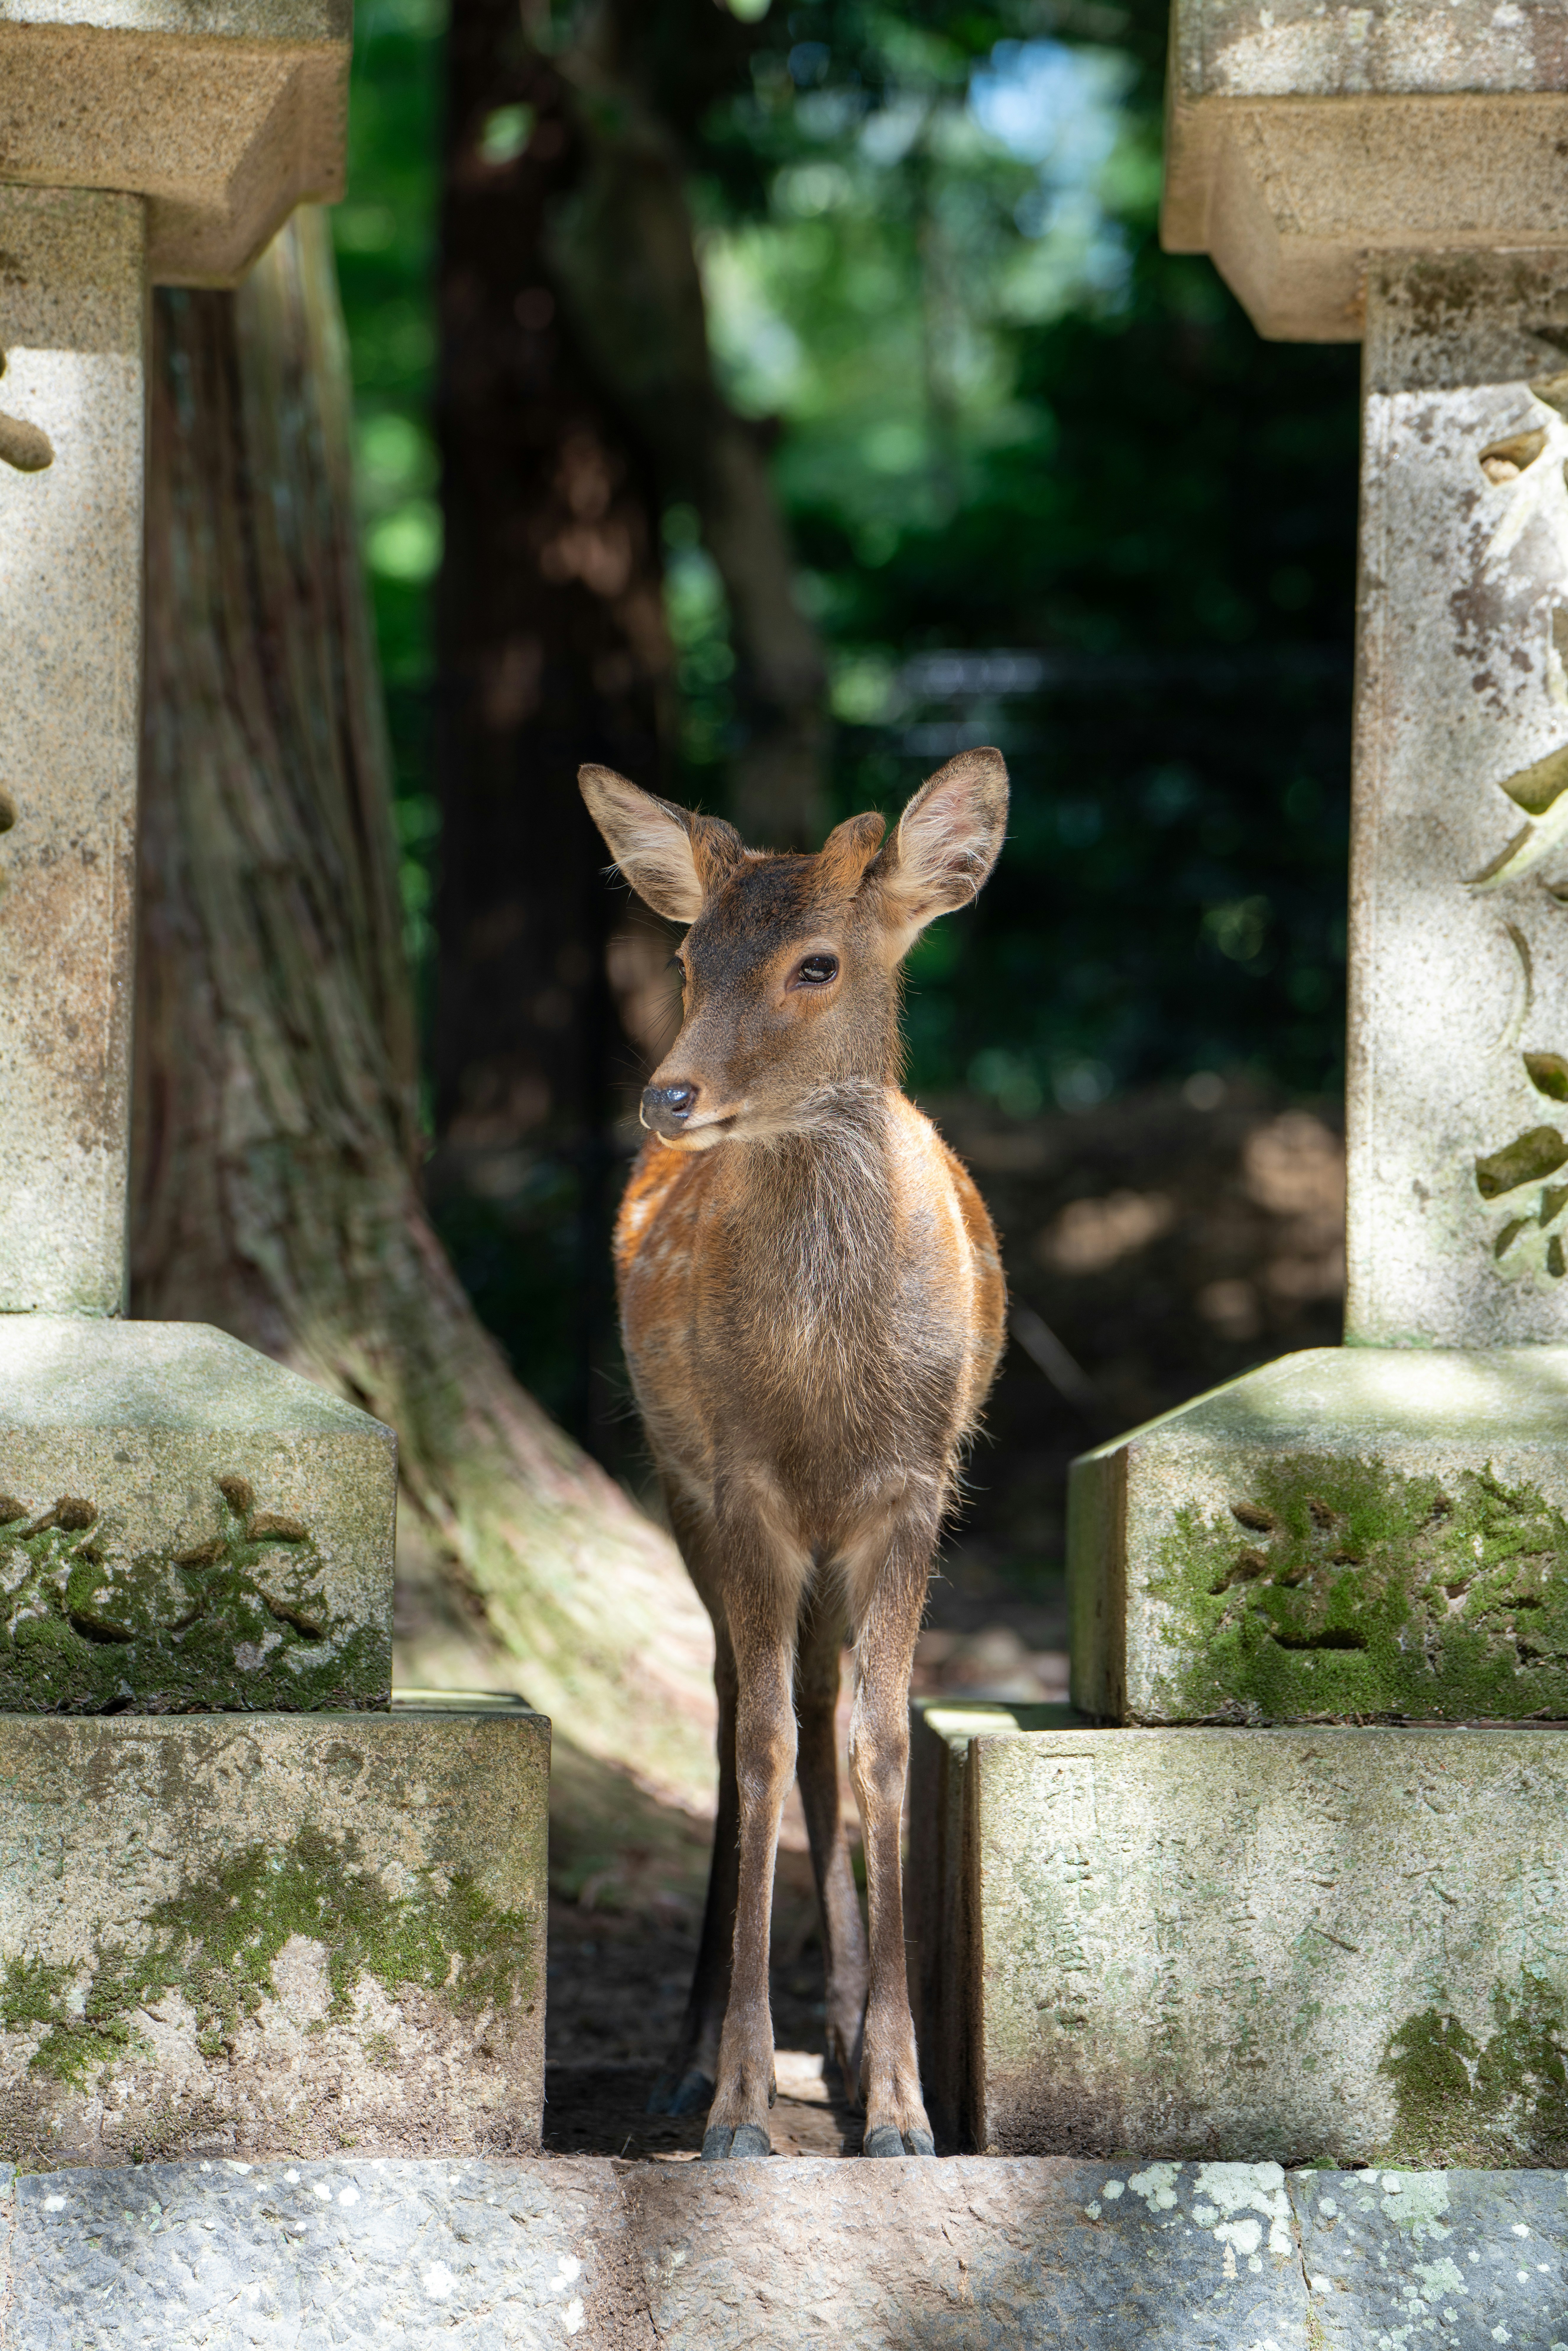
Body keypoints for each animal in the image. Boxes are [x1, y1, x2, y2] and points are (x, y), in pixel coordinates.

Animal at [579, 746, 1009, 2160]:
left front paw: (906, 2106)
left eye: (815, 963)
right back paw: (691, 2058)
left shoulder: (913, 1487)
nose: (669, 1094)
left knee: (828, 1716)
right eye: (686, 956)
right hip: (681, 1486)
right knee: (739, 1713)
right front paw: (742, 2103)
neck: (829, 1390)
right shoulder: (740, 1484)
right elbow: (759, 1746)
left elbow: (884, 1749)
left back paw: (852, 2032)